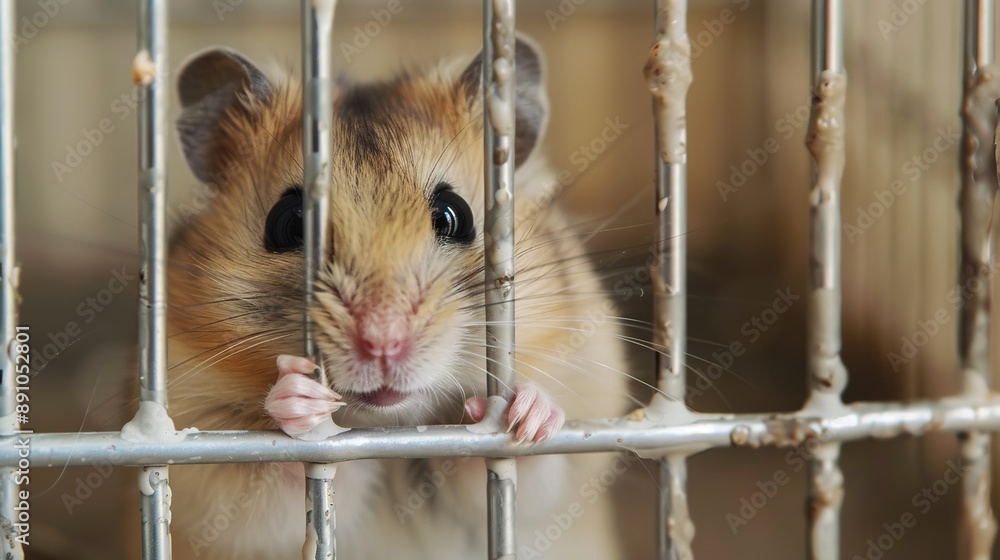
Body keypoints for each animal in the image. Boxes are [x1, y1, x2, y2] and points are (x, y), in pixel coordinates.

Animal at [159, 38, 631, 560]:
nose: (382, 344)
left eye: (454, 215)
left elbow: (520, 468)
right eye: (288, 223)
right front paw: (300, 401)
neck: (393, 425)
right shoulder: (205, 474)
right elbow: (274, 485)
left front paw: (524, 415)